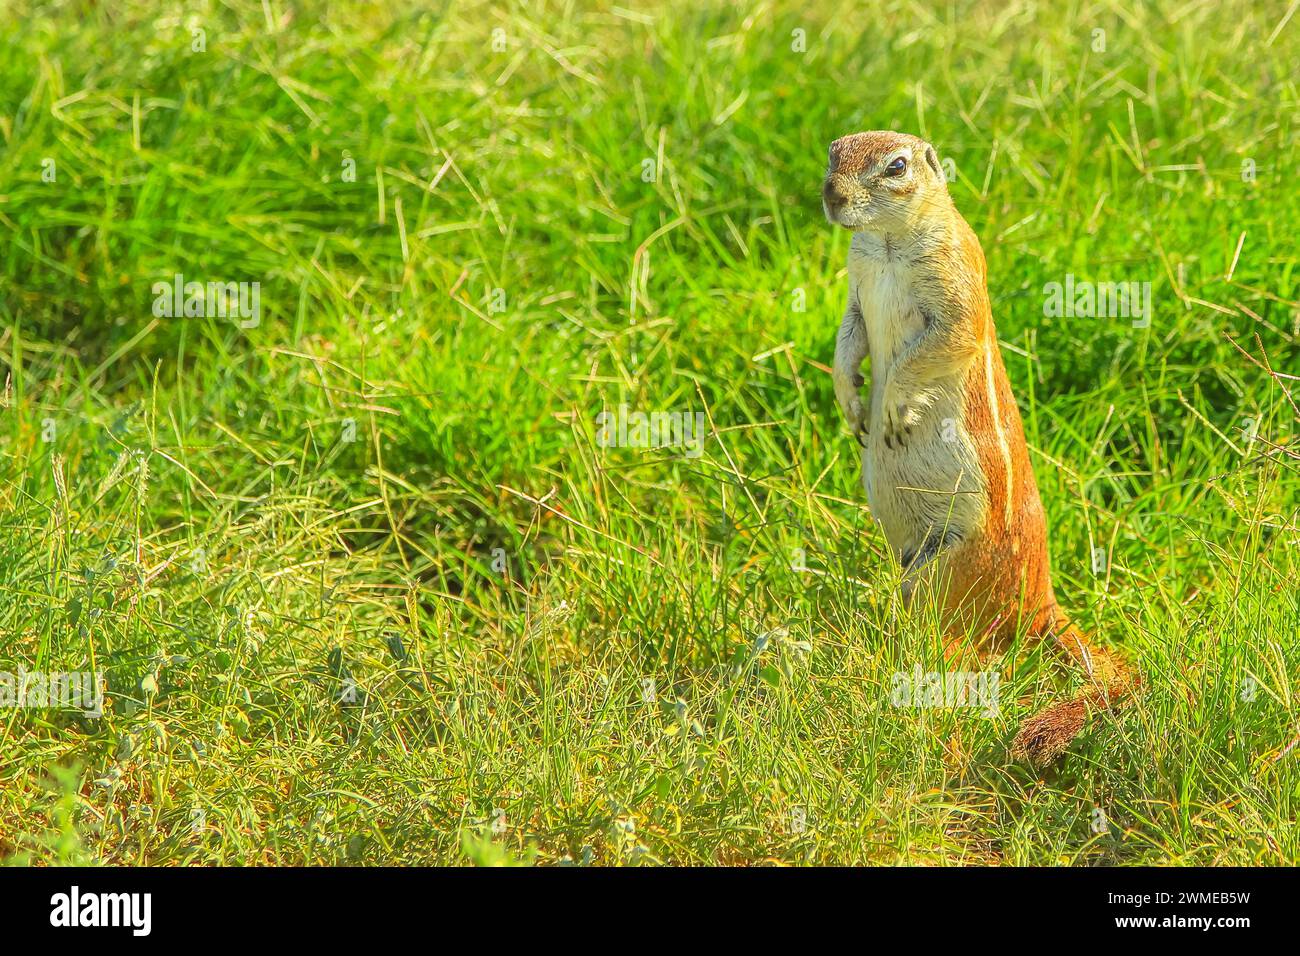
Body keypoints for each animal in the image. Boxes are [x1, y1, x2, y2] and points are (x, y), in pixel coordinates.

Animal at [823, 130, 1136, 764]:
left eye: (896, 166)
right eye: (832, 152)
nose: (831, 195)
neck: (887, 241)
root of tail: (1042, 597)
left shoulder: (954, 288)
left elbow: (937, 345)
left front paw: (889, 408)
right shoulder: (855, 288)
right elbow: (849, 336)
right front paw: (851, 401)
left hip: (945, 570)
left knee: (976, 649)